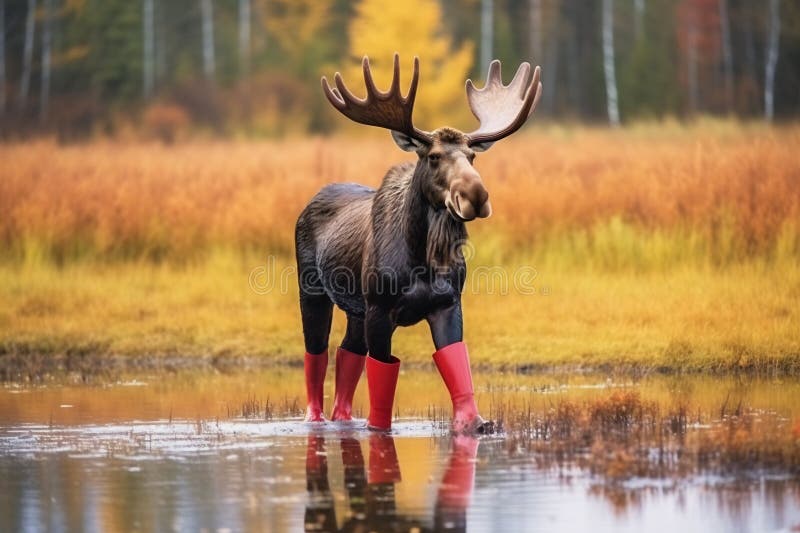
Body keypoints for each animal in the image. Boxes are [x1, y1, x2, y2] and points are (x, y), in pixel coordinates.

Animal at [296, 54, 542, 433]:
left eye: (472, 156)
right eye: (433, 156)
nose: (476, 195)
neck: (422, 259)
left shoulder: (447, 303)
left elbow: (456, 366)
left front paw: (477, 422)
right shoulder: (380, 310)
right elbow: (382, 383)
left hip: (355, 308)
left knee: (348, 352)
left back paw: (343, 418)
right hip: (313, 290)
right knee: (316, 352)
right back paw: (315, 418)